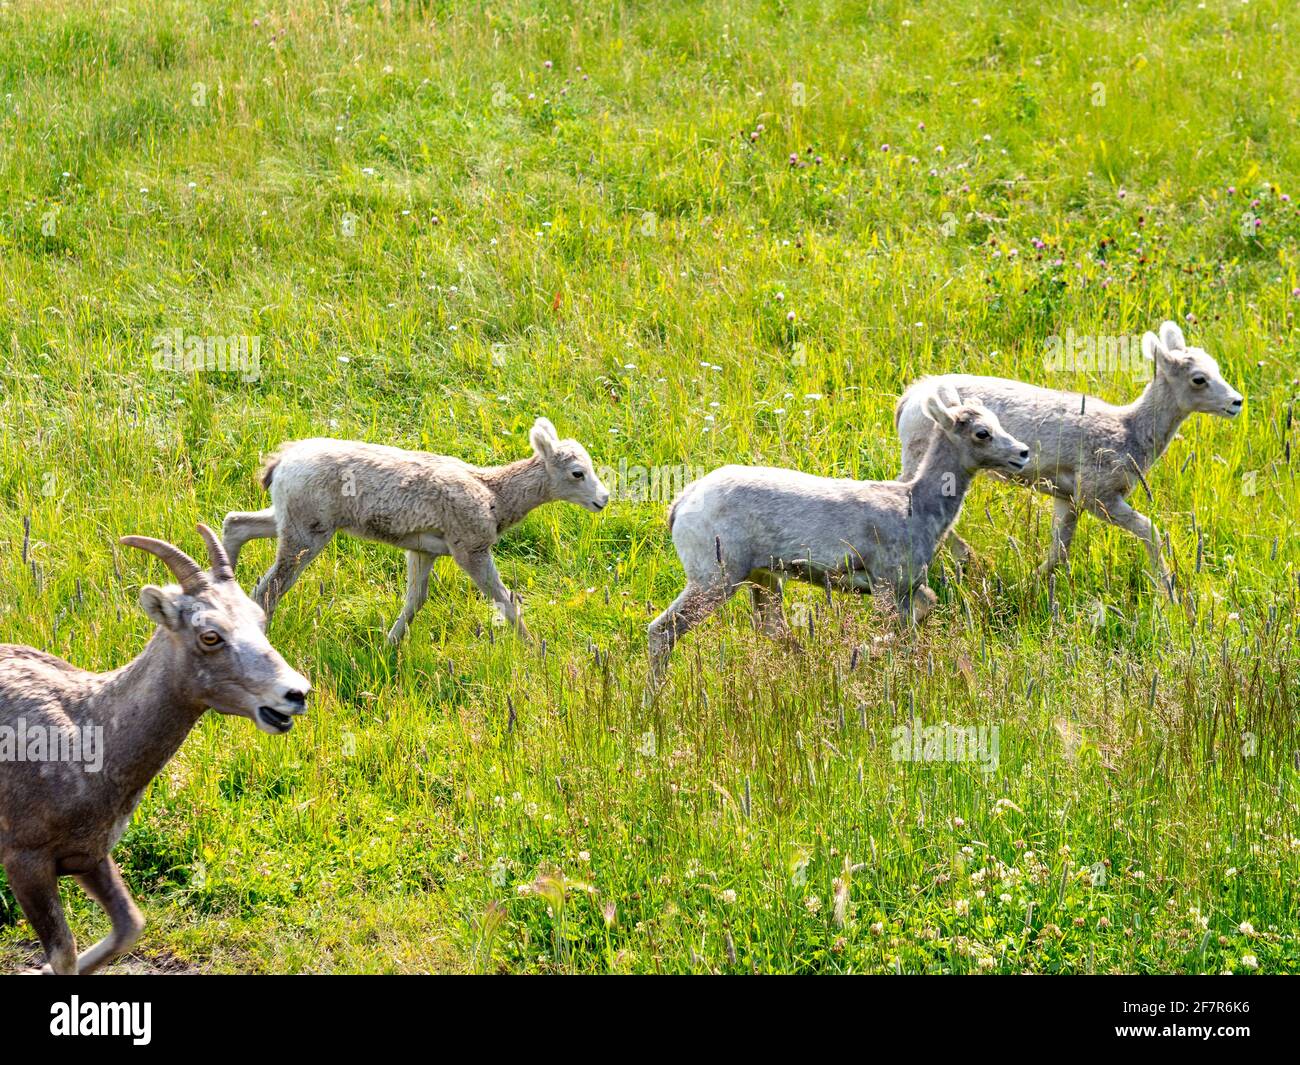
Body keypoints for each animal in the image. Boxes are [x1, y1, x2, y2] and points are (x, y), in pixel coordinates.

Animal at [0, 525, 310, 975]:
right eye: (210, 635)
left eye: (259, 618)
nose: (296, 694)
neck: (89, 738)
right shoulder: (26, 862)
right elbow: (64, 954)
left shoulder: (88, 856)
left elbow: (129, 927)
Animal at [222, 417, 610, 643]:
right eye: (577, 473)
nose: (603, 499)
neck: (494, 494)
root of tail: (282, 461)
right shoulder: (470, 550)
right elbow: (506, 600)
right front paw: (535, 650)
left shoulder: (422, 551)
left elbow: (415, 601)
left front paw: (389, 645)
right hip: (307, 533)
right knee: (268, 590)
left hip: (289, 518)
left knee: (235, 523)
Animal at [647, 391, 1030, 684]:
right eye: (982, 432)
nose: (1023, 453)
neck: (915, 506)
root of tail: (681, 504)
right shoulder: (887, 584)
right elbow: (901, 633)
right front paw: (867, 654)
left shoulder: (907, 586)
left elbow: (923, 611)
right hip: (715, 578)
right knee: (662, 629)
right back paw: (654, 700)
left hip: (762, 578)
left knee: (771, 628)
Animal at [895, 321, 1244, 597]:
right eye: (1199, 378)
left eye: (1216, 367)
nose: (1236, 402)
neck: (1129, 431)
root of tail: (910, 398)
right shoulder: (1097, 495)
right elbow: (1151, 529)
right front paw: (1168, 594)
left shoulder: (1068, 498)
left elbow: (1059, 551)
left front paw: (1025, 585)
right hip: (919, 456)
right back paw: (970, 559)